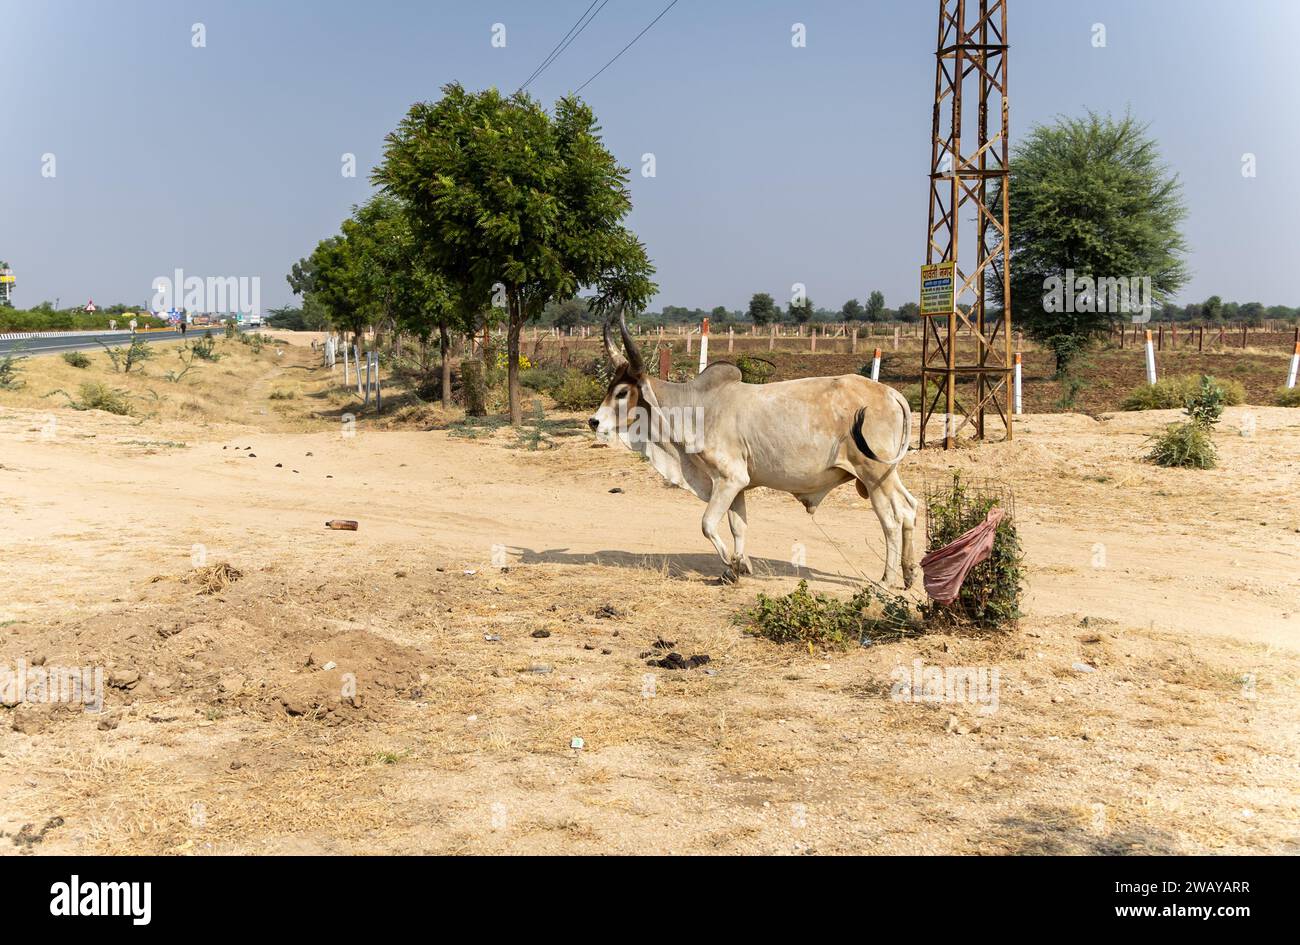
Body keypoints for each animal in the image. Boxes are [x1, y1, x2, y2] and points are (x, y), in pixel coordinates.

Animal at [588, 311, 918, 587]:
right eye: (609, 388)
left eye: (622, 392)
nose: (593, 421)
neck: (698, 408)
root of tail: (890, 393)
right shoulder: (736, 485)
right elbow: (738, 527)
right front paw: (741, 564)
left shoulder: (729, 479)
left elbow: (707, 524)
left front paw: (732, 566)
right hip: (886, 475)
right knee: (910, 508)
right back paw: (909, 574)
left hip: (873, 475)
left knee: (892, 519)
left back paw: (887, 579)